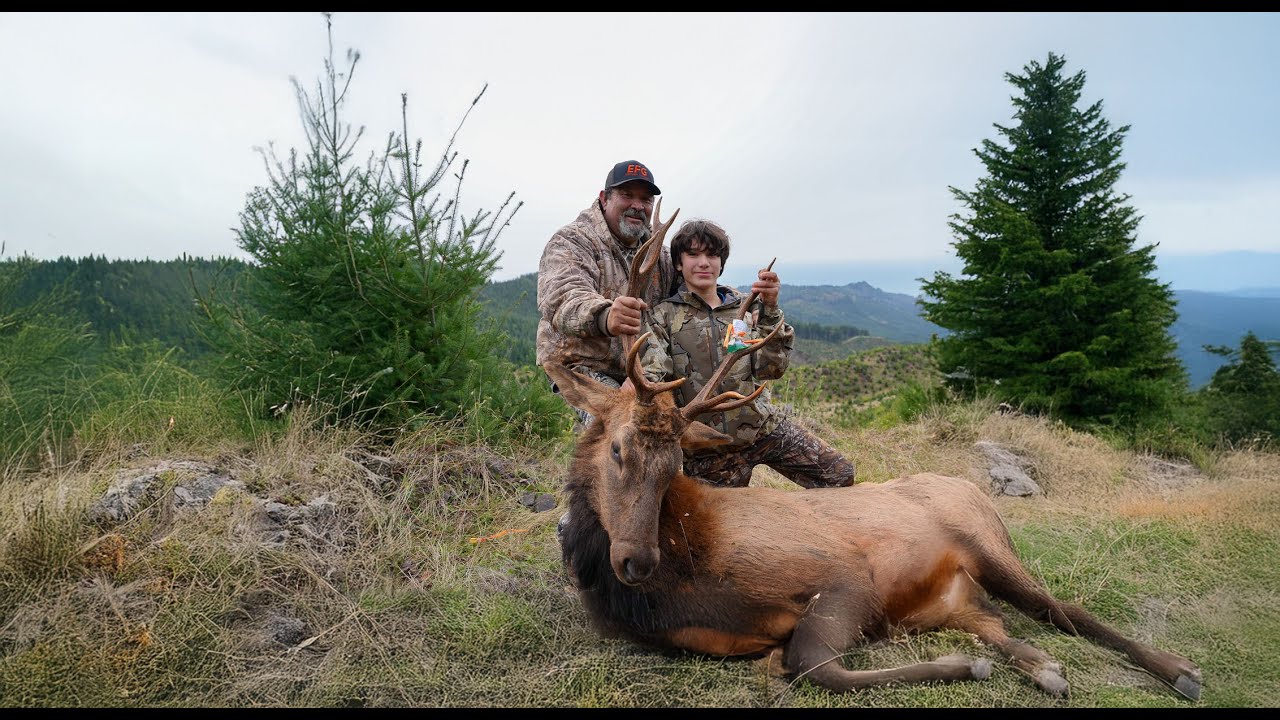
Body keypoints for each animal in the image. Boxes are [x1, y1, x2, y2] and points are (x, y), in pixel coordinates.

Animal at [543, 323, 1203, 700]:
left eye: (676, 463)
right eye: (618, 448)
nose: (637, 558)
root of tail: (972, 487)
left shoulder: (842, 576)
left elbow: (813, 666)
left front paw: (964, 669)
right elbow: (791, 666)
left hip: (991, 545)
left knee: (1064, 609)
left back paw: (1179, 670)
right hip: (952, 601)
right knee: (1000, 623)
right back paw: (1043, 668)